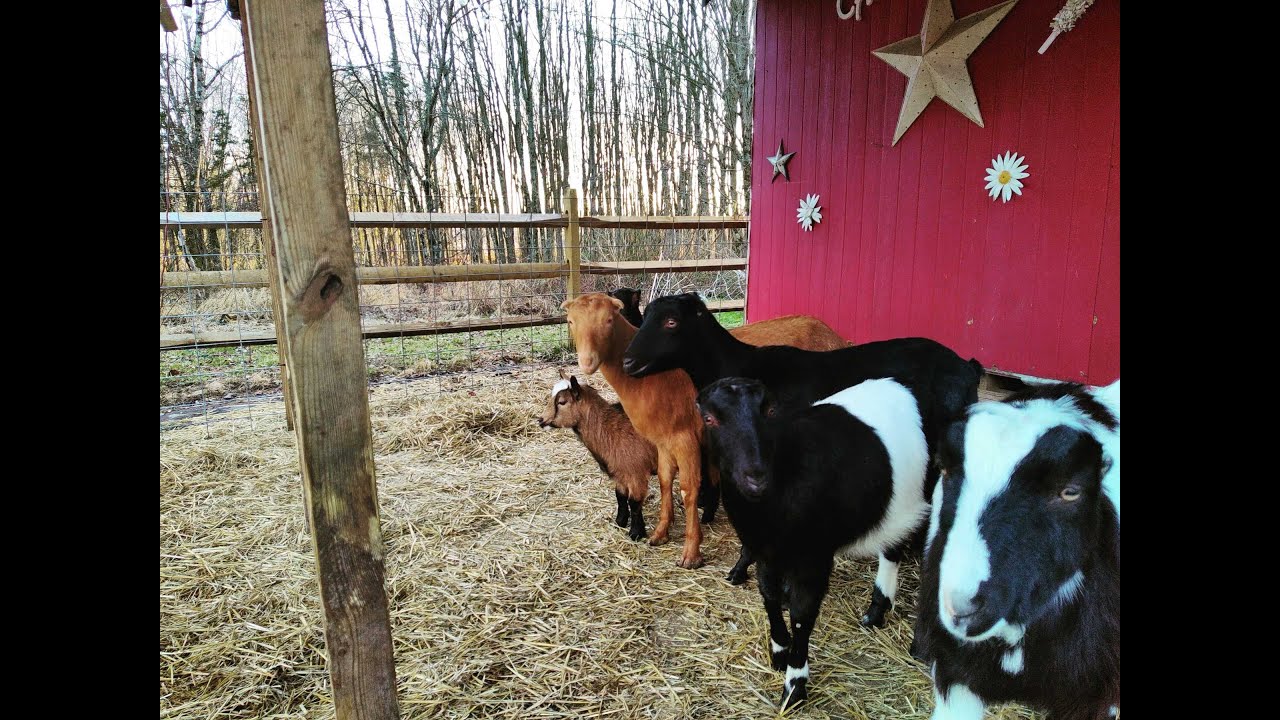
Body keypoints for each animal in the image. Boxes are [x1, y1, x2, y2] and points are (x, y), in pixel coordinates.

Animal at [538, 372, 658, 542]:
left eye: (562, 402)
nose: (540, 420)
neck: (612, 429)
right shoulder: (620, 473)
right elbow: (620, 496)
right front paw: (619, 522)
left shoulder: (636, 473)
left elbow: (634, 503)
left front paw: (636, 533)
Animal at [698, 376, 931, 709]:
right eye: (709, 418)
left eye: (770, 411)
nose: (756, 476)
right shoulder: (766, 550)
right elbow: (768, 596)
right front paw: (779, 653)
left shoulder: (814, 557)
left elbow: (801, 615)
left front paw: (794, 686)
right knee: (892, 544)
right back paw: (877, 610)